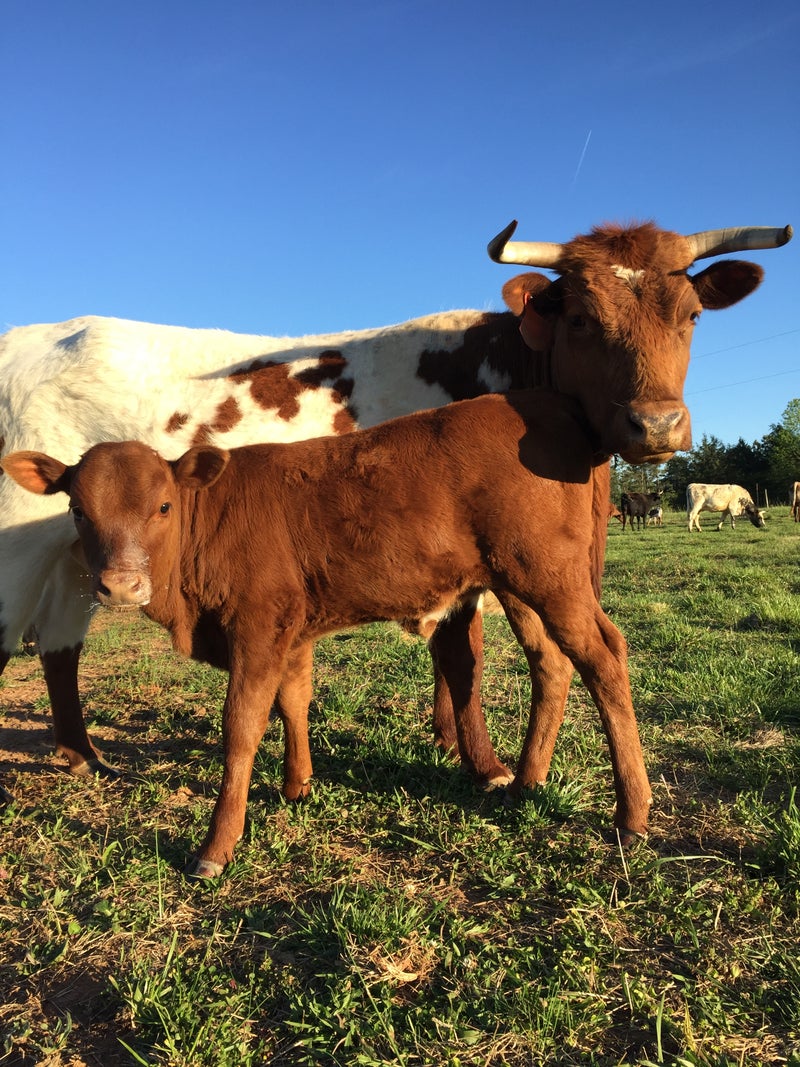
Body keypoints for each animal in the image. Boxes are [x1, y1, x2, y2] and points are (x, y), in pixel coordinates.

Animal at [0, 218, 789, 792]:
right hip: (19, 540)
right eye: (582, 320)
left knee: (61, 638)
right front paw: (485, 763)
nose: (655, 426)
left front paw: (449, 742)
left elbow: (457, 654)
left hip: (77, 547)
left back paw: (81, 753)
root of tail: (31, 334)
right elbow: (464, 655)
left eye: (692, 314)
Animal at [2, 391, 654, 877]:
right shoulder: (292, 629)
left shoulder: (258, 626)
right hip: (518, 582)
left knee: (605, 657)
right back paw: (525, 782)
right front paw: (297, 785)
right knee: (553, 662)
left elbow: (242, 726)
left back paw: (631, 813)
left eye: (163, 506)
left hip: (548, 574)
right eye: (78, 510)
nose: (120, 586)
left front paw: (216, 846)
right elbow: (293, 701)